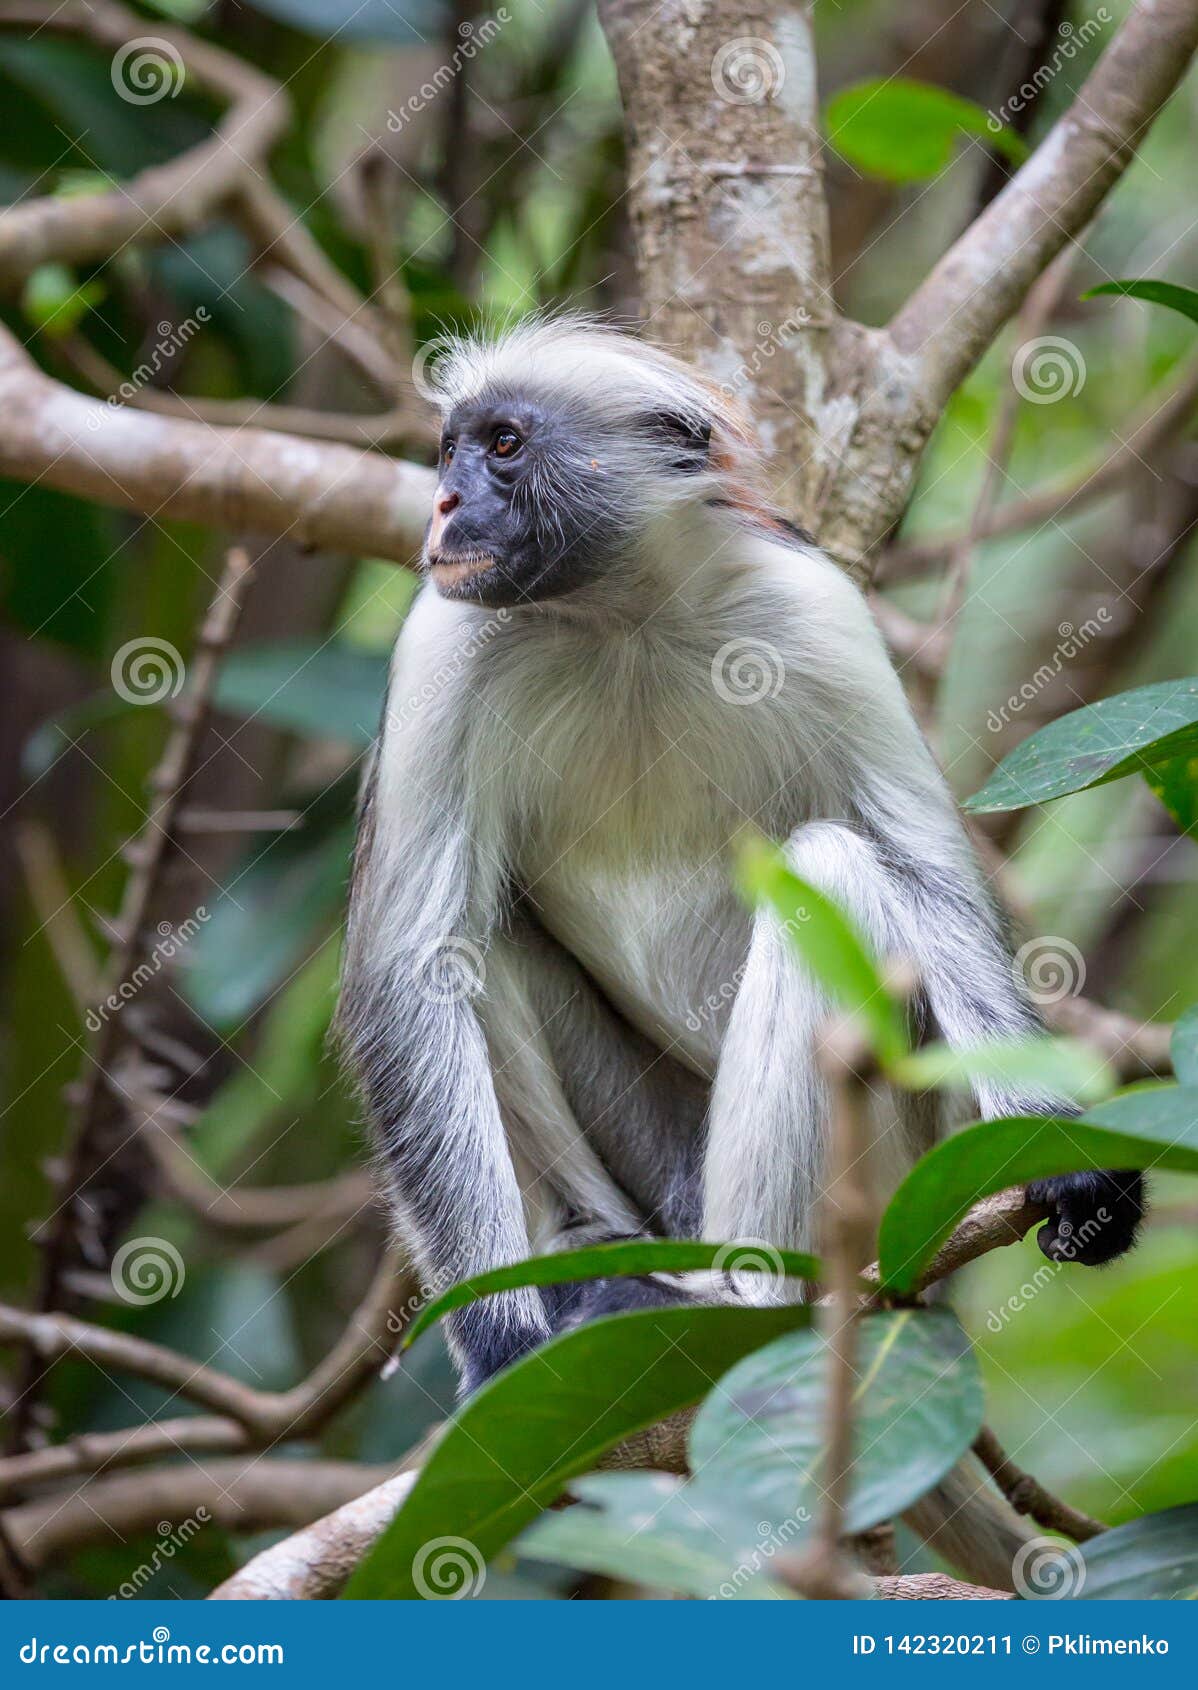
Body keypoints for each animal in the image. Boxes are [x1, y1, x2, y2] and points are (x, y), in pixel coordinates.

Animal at [338, 317, 1141, 1579]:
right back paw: (606, 1272)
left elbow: (922, 875)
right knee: (476, 943)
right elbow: (407, 976)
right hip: (661, 1155)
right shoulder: (443, 639)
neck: (619, 617)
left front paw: (1060, 1158)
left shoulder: (810, 603)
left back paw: (740, 1298)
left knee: (834, 867)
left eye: (504, 445)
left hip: (877, 1159)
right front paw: (501, 1342)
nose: (444, 503)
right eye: (450, 449)